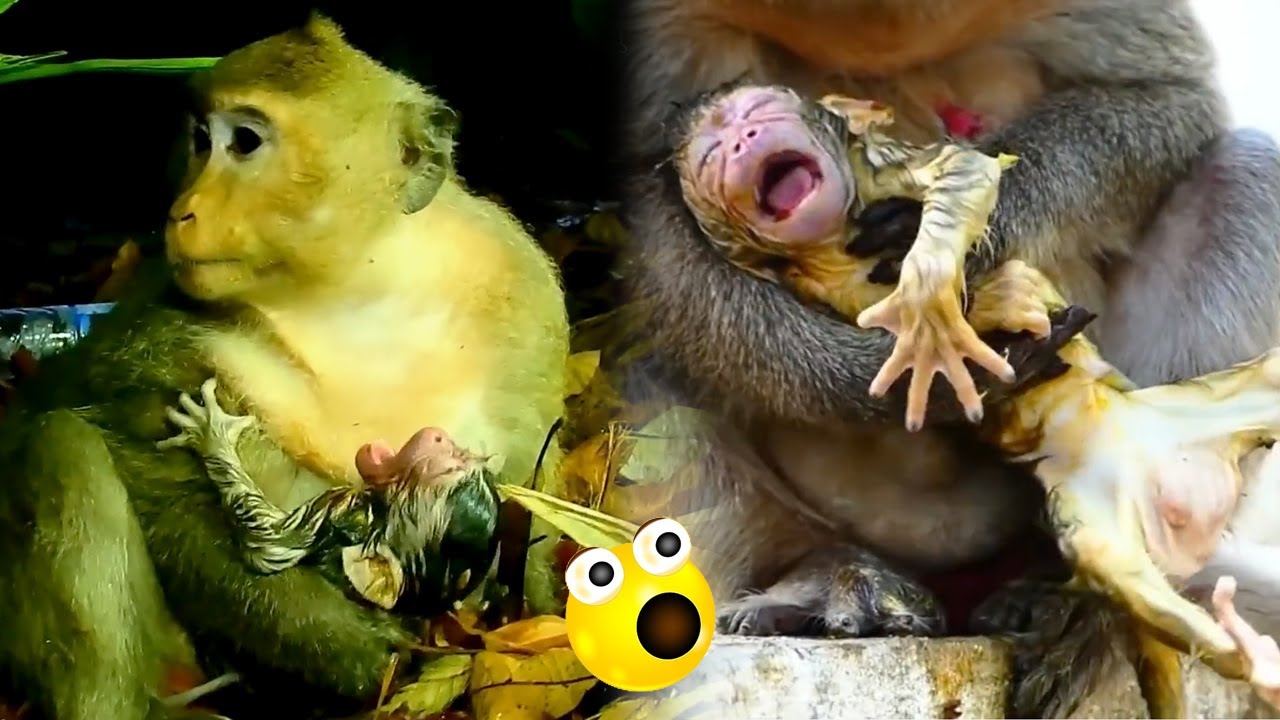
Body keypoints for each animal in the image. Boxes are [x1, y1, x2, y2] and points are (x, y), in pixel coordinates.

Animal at [157, 378, 501, 617]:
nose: (438, 435)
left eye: (445, 470)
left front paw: (211, 432)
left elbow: (269, 546)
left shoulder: (341, 515)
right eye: (458, 456)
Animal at [617, 0, 1280, 716]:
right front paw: (880, 379)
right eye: (713, 147)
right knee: (642, 354)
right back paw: (822, 575)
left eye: (757, 117)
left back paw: (1095, 588)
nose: (741, 138)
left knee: (1245, 176)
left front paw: (970, 215)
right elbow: (653, 231)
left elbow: (1166, 101)